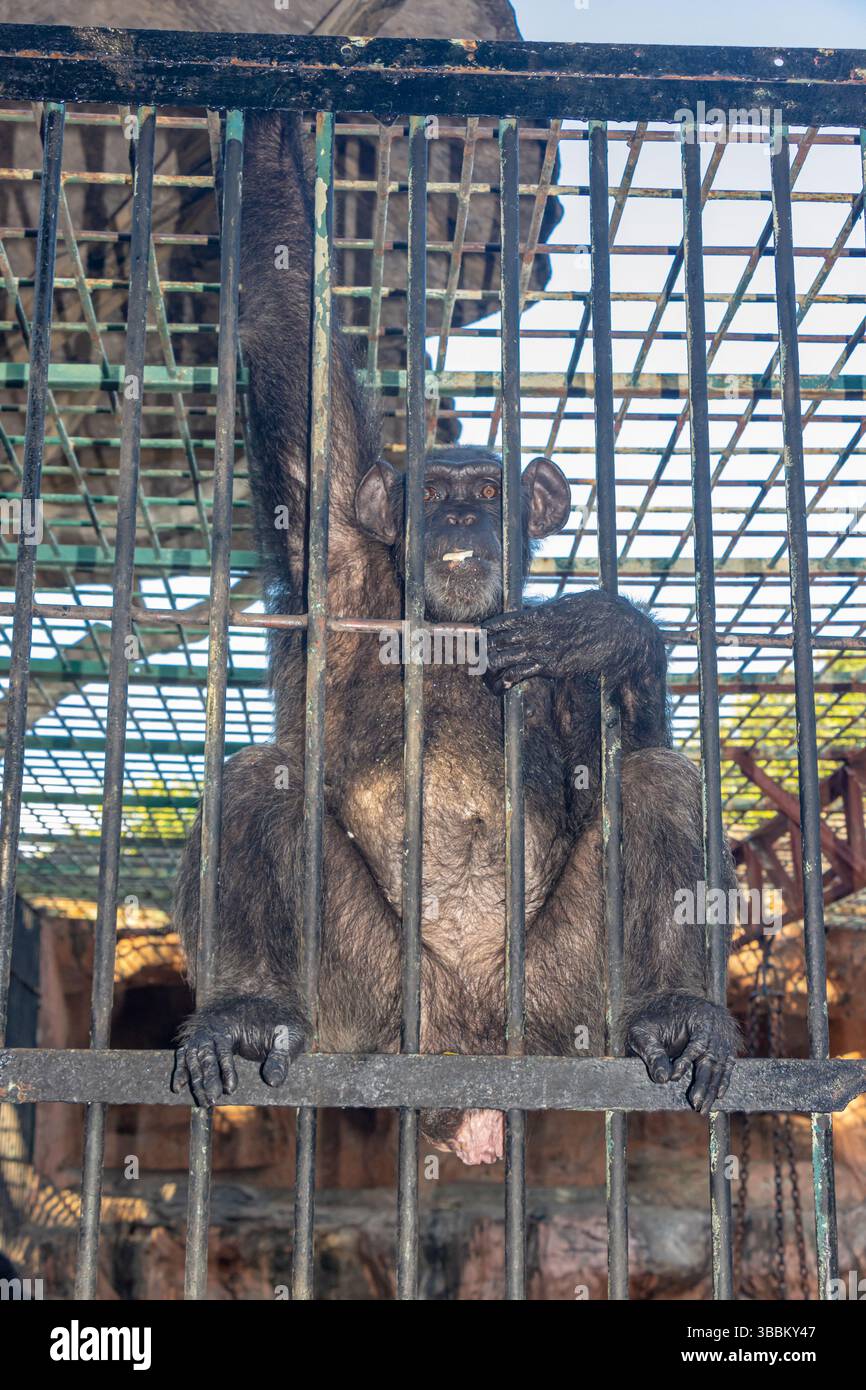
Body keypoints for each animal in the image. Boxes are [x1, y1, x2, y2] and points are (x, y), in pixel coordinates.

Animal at [171, 112, 740, 1165]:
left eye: (486, 490)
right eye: (433, 491)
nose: (463, 519)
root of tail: (467, 1087)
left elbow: (622, 743)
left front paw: (608, 633)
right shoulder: (341, 562)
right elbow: (292, 336)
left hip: (560, 1014)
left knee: (657, 783)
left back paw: (677, 1013)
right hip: (374, 1010)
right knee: (258, 780)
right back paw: (247, 1013)